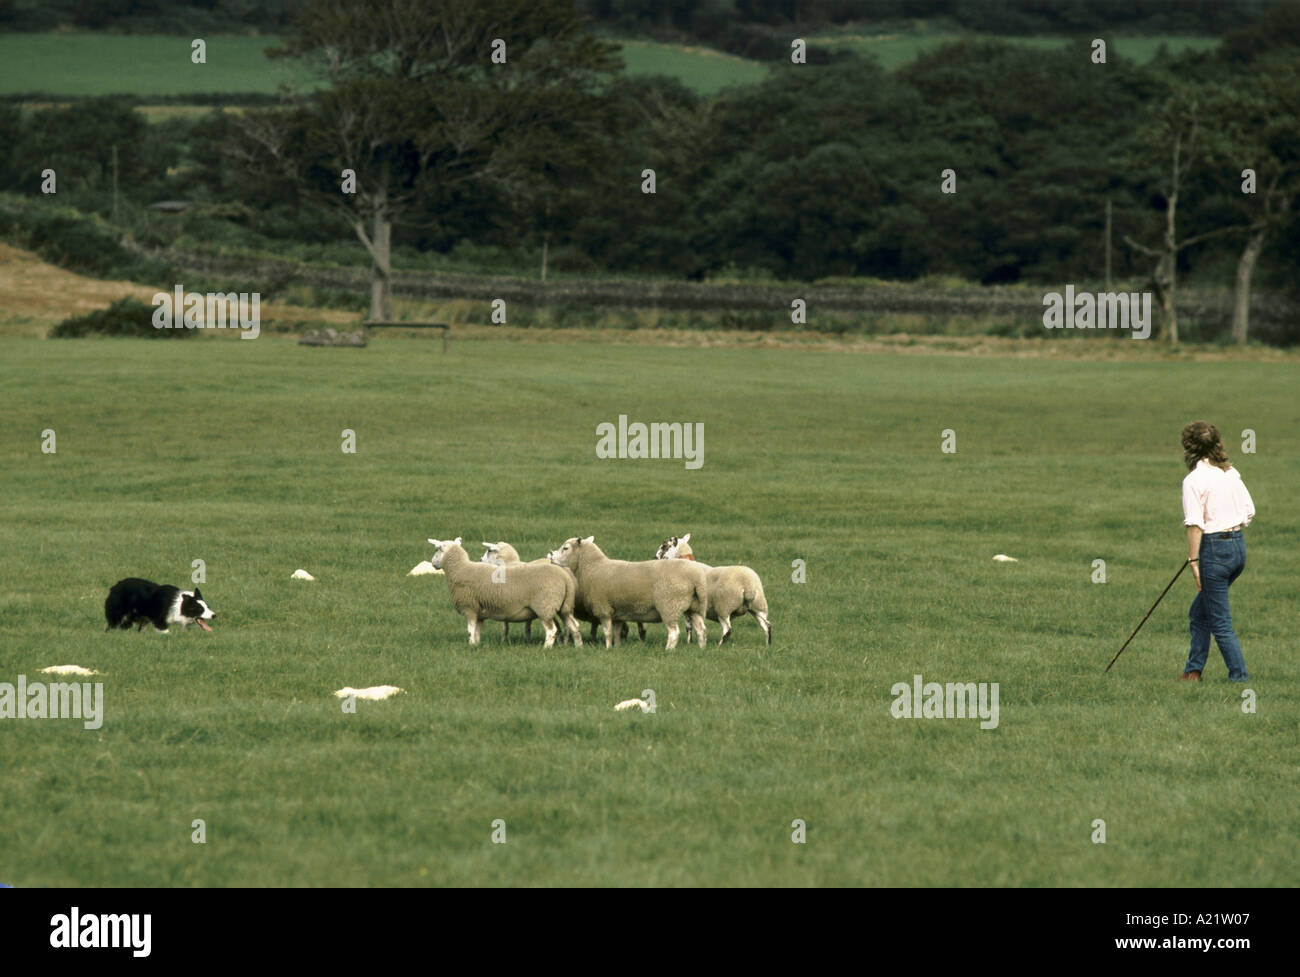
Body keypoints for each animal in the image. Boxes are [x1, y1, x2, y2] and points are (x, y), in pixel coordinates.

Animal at [428, 537, 582, 647]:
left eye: (436, 549)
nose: (432, 563)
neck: (459, 569)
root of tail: (565, 577)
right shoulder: (479, 612)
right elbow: (477, 631)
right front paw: (476, 646)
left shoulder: (469, 608)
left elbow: (470, 631)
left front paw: (470, 646)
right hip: (565, 607)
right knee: (574, 626)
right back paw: (578, 646)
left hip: (545, 606)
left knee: (551, 631)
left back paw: (546, 648)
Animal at [548, 536, 708, 650]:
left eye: (565, 548)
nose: (550, 555)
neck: (592, 567)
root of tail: (695, 577)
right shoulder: (617, 613)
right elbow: (617, 632)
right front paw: (617, 647)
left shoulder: (603, 609)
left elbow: (607, 632)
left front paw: (607, 648)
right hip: (694, 607)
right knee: (701, 629)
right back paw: (701, 649)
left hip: (669, 606)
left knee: (674, 632)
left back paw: (668, 650)